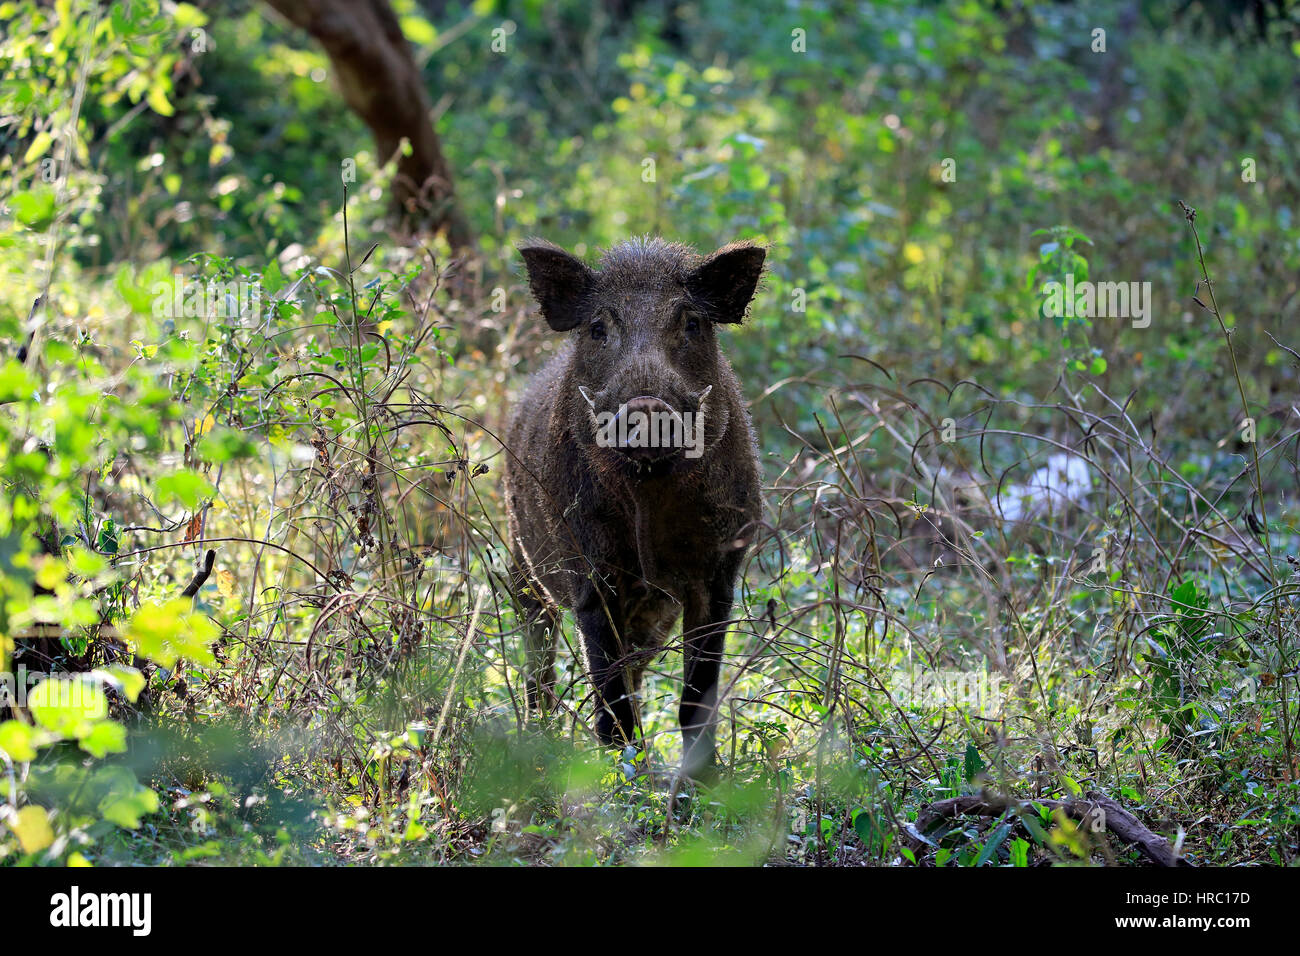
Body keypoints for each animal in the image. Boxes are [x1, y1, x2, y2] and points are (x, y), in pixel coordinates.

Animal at [504, 236, 764, 779]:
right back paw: (538, 744)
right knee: (539, 661)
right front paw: (625, 778)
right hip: (521, 565)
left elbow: (695, 697)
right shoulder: (589, 572)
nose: (646, 406)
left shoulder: (719, 573)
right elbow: (610, 696)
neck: (649, 494)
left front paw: (702, 783)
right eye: (598, 328)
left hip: (651, 617)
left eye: (692, 322)